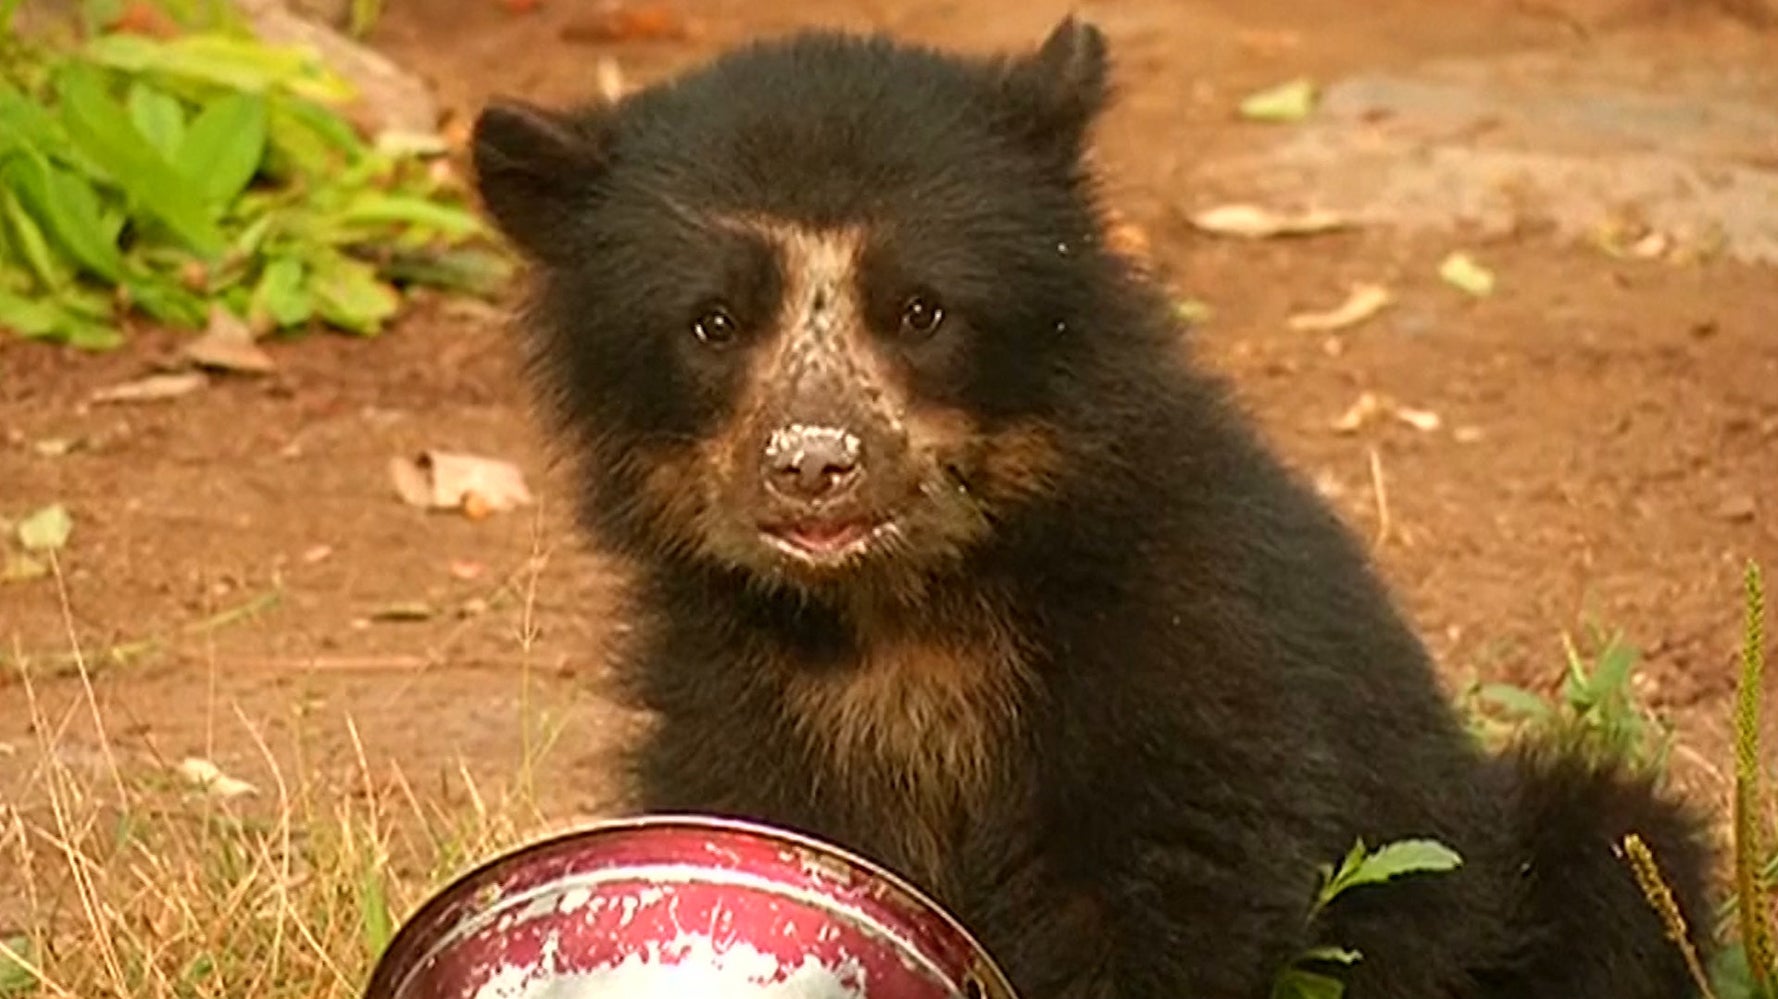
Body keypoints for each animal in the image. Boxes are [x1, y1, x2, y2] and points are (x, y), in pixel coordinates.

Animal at [468, 17, 1716, 999]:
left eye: (920, 311)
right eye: (713, 324)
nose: (813, 464)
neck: (903, 608)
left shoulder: (1181, 645)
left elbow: (1160, 886)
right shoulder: (743, 699)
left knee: (1612, 854)